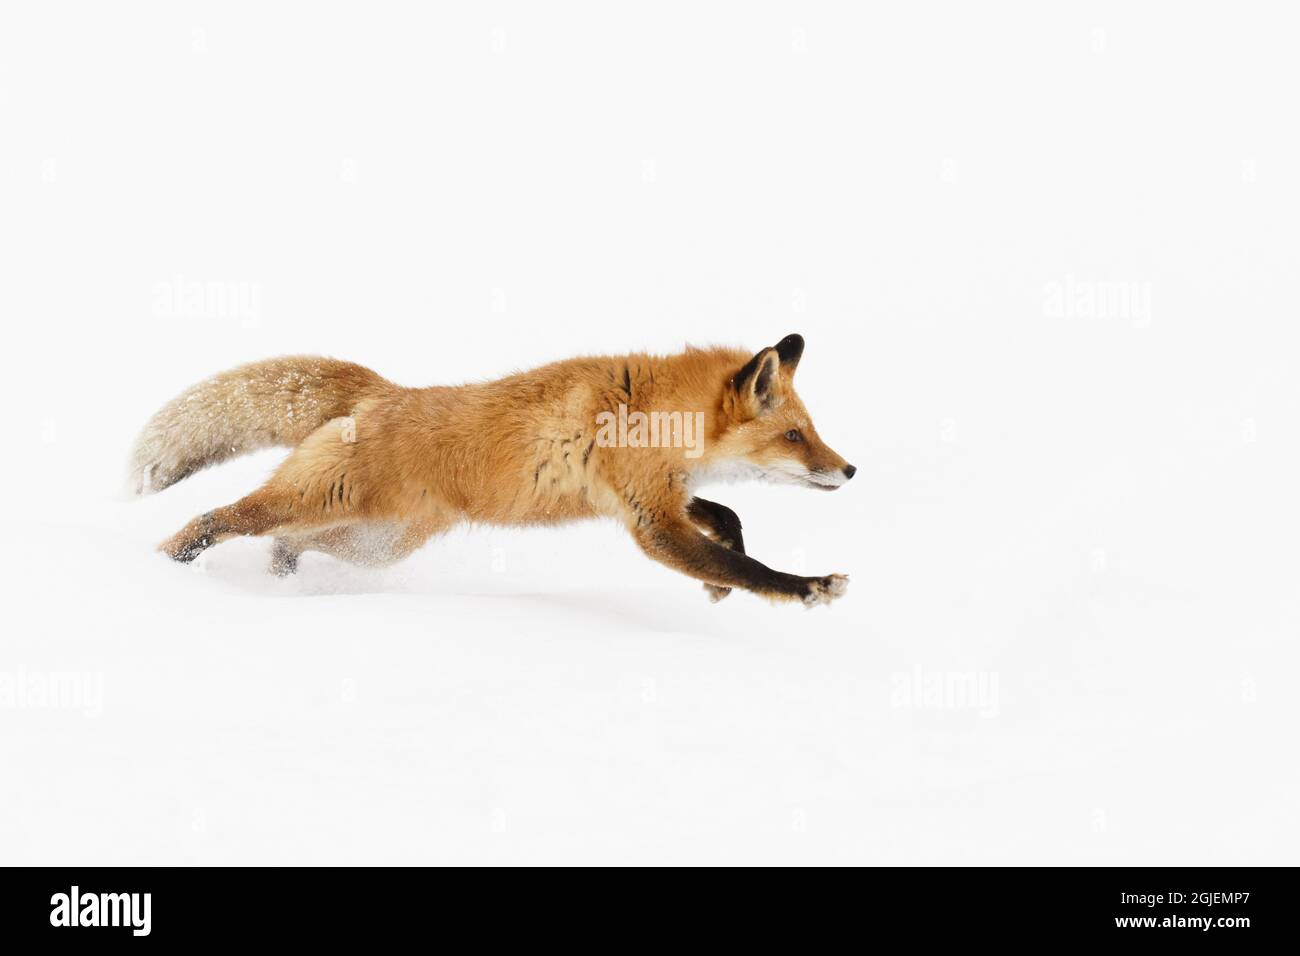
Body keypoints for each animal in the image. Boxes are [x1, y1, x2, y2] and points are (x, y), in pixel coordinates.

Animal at [131, 333, 856, 606]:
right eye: (795, 436)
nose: (850, 471)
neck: (649, 410)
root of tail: (382, 390)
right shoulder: (649, 521)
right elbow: (744, 566)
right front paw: (807, 586)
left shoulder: (650, 497)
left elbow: (726, 519)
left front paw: (719, 580)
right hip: (317, 502)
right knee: (215, 518)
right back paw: (165, 569)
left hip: (376, 541)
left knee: (287, 545)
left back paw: (281, 582)